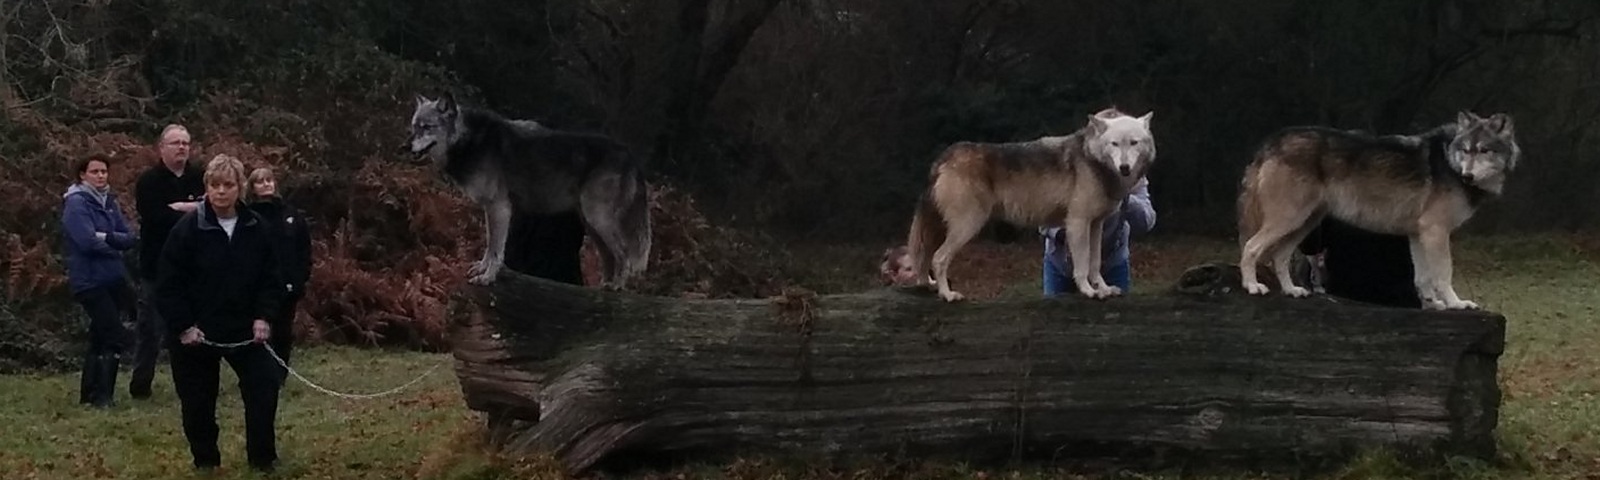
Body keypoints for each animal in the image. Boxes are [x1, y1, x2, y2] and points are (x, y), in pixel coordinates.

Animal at [407, 93, 652, 287]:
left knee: (623, 254)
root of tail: (629, 155)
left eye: (426, 127)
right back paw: (604, 288)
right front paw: (481, 269)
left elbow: (496, 250)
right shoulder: (491, 209)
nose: (406, 146)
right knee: (609, 257)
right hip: (591, 224)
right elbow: (489, 246)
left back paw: (617, 287)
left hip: (598, 219)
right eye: (413, 126)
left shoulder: (500, 207)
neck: (470, 141)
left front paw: (487, 278)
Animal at [904, 108, 1156, 302]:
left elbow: (1095, 264)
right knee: (938, 258)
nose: (1125, 167)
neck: (1092, 159)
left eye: (1133, 143)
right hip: (967, 227)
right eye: (1114, 144)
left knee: (925, 257)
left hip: (943, 228)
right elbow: (1083, 265)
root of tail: (945, 156)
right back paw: (947, 295)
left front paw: (1103, 289)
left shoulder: (1096, 225)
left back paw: (928, 284)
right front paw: (1088, 291)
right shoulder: (1077, 223)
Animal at [1235, 111, 1520, 310]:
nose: (1467, 175)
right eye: (1466, 150)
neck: (1449, 161)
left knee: (1279, 256)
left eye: (1483, 151)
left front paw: (1433, 305)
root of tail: (1272, 142)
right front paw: (1456, 304)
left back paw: (1292, 290)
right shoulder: (1436, 232)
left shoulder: (1419, 235)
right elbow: (1443, 275)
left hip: (1304, 224)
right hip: (1289, 220)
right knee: (1250, 247)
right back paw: (1252, 286)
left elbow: (1423, 279)